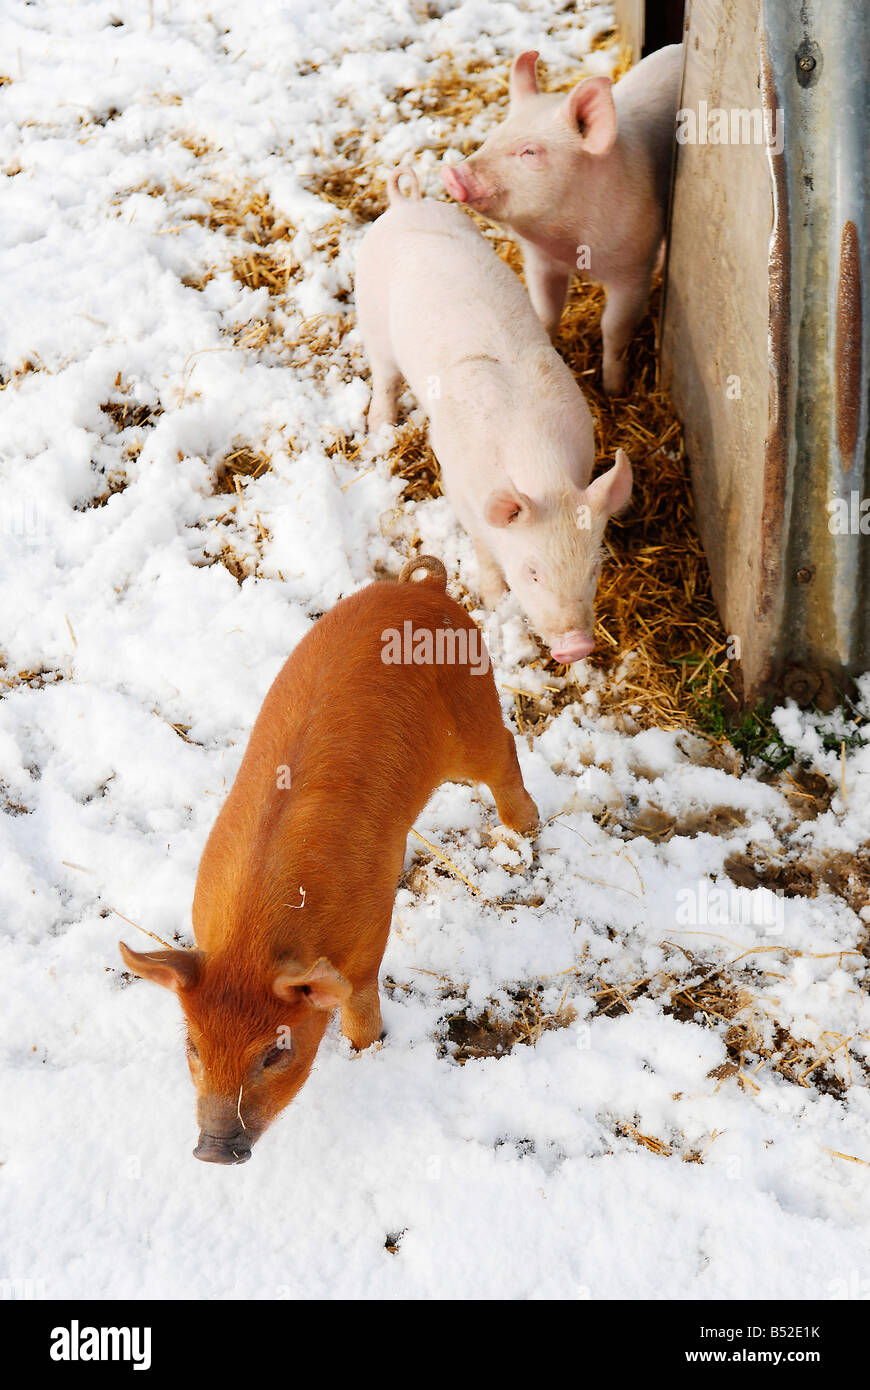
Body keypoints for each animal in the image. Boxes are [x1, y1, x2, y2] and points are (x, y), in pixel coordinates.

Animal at [119, 555, 538, 1163]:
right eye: (193, 1047)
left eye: (275, 1052)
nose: (212, 1151)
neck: (255, 937)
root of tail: (425, 588)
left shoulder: (368, 939)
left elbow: (360, 1009)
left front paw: (369, 1052)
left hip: (473, 706)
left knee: (505, 749)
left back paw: (526, 830)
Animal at [355, 168, 632, 664]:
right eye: (532, 572)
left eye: (594, 571)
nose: (576, 647)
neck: (541, 464)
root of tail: (405, 203)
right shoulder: (459, 488)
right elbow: (483, 548)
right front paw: (493, 600)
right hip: (373, 319)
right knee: (384, 376)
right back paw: (379, 427)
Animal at [441, 44, 683, 394]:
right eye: (493, 137)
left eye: (530, 152)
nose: (452, 174)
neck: (567, 242)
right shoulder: (541, 262)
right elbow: (545, 311)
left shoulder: (634, 269)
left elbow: (614, 328)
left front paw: (613, 389)